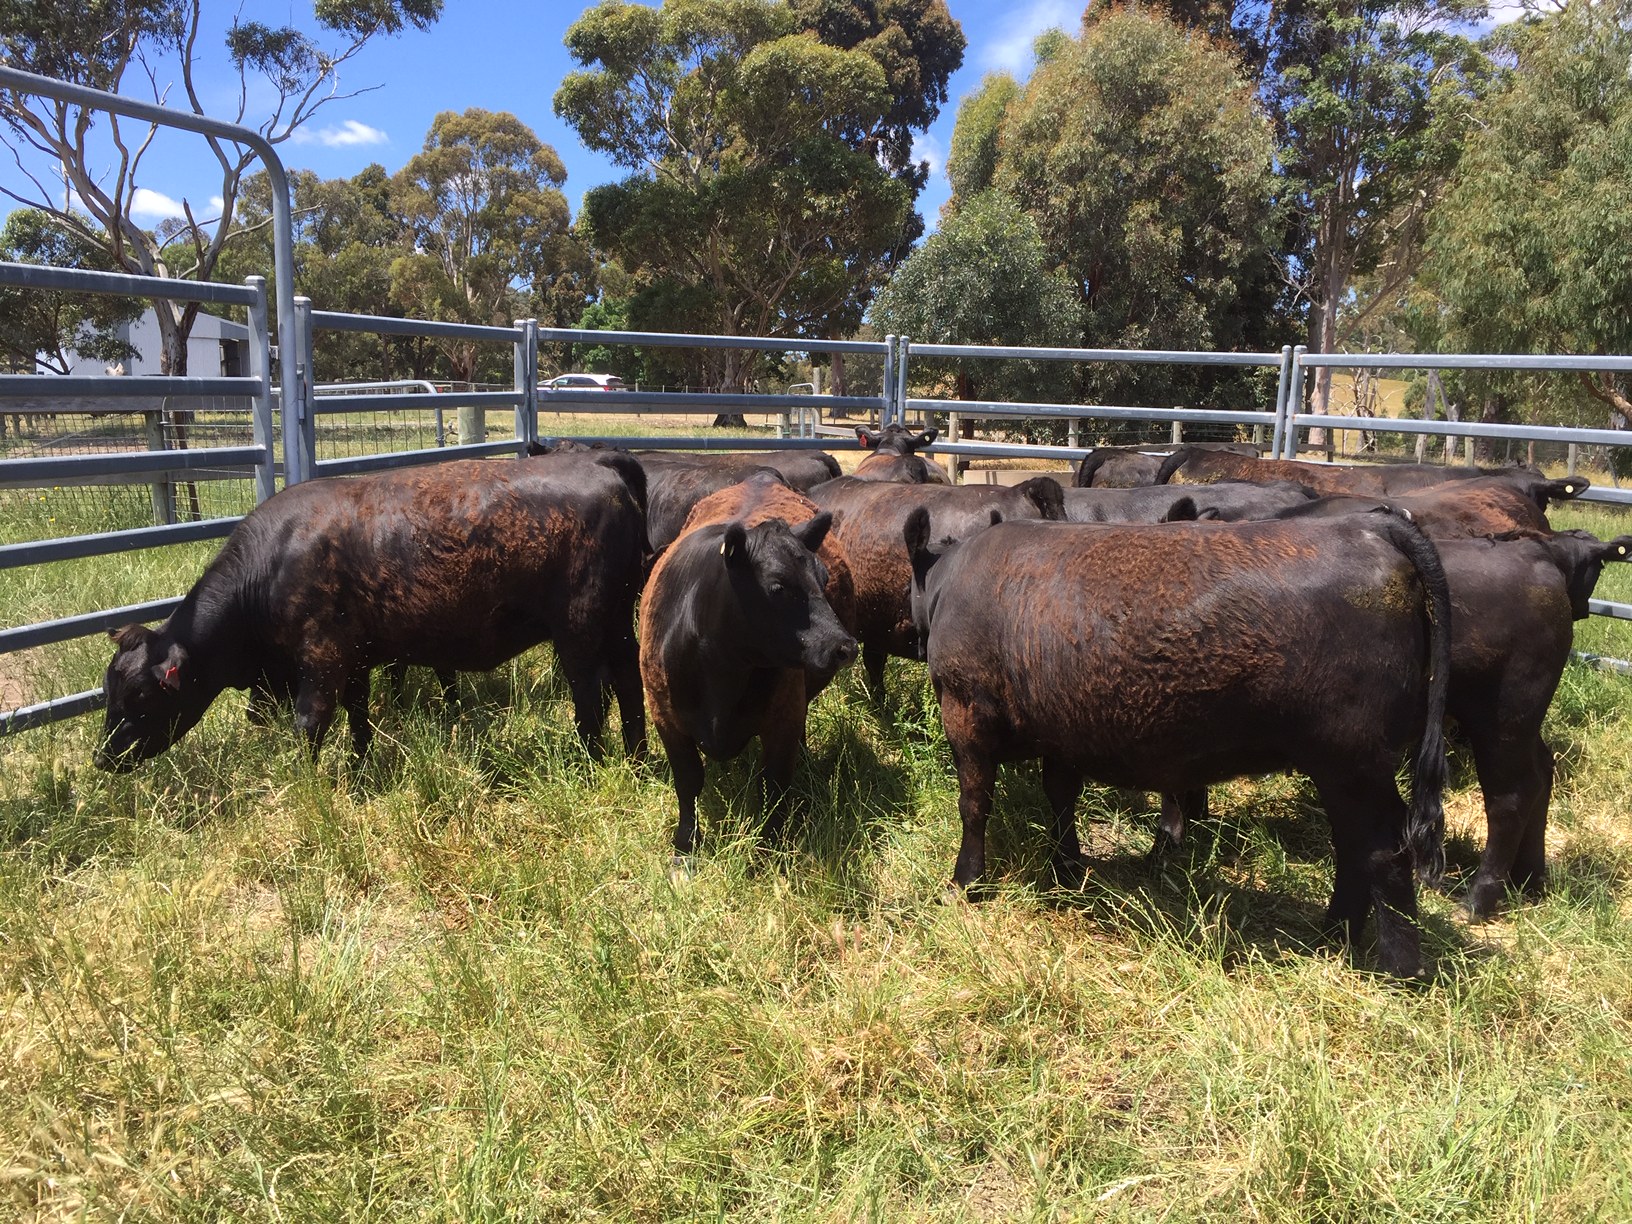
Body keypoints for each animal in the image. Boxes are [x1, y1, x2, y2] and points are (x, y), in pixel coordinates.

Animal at [96, 453, 650, 769]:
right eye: (110, 689)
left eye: (140, 696)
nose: (104, 761)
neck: (275, 560)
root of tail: (601, 466)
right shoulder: (356, 656)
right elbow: (358, 714)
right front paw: (359, 769)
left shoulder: (321, 656)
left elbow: (311, 721)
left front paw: (306, 784)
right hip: (619, 620)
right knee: (628, 680)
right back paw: (638, 756)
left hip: (579, 626)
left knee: (590, 694)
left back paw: (588, 761)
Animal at [640, 506, 857, 863]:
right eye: (778, 587)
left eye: (824, 579)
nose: (845, 647)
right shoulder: (665, 716)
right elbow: (688, 781)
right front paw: (686, 845)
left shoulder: (783, 720)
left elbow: (773, 787)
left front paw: (770, 849)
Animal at [905, 511, 1451, 977]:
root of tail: (1371, 525)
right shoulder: (1061, 728)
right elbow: (1060, 797)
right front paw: (1067, 867)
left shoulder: (965, 712)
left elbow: (975, 803)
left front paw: (965, 881)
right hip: (1343, 769)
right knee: (1355, 848)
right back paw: (1332, 936)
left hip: (1353, 763)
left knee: (1384, 849)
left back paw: (1399, 968)